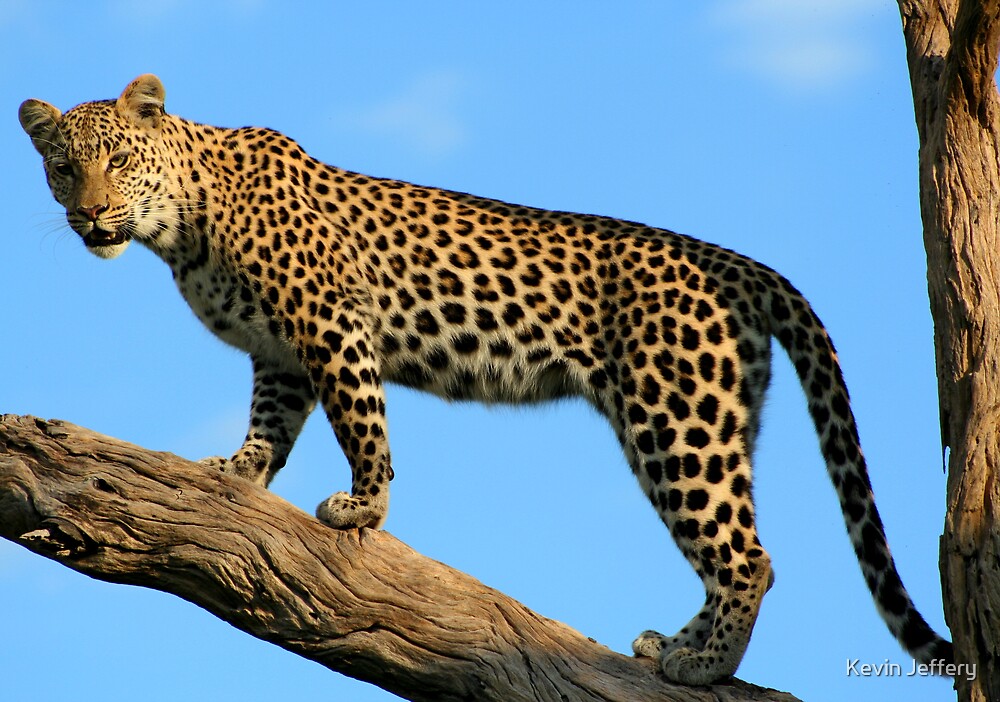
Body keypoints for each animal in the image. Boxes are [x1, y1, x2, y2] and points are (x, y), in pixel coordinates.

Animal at [19, 74, 953, 686]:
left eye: (117, 160)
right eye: (64, 168)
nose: (88, 214)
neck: (182, 225)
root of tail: (737, 263)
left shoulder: (330, 320)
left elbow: (362, 419)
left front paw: (364, 508)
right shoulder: (280, 353)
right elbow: (270, 422)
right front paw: (236, 472)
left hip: (674, 417)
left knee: (747, 555)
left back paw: (701, 665)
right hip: (718, 419)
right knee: (729, 542)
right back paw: (675, 646)